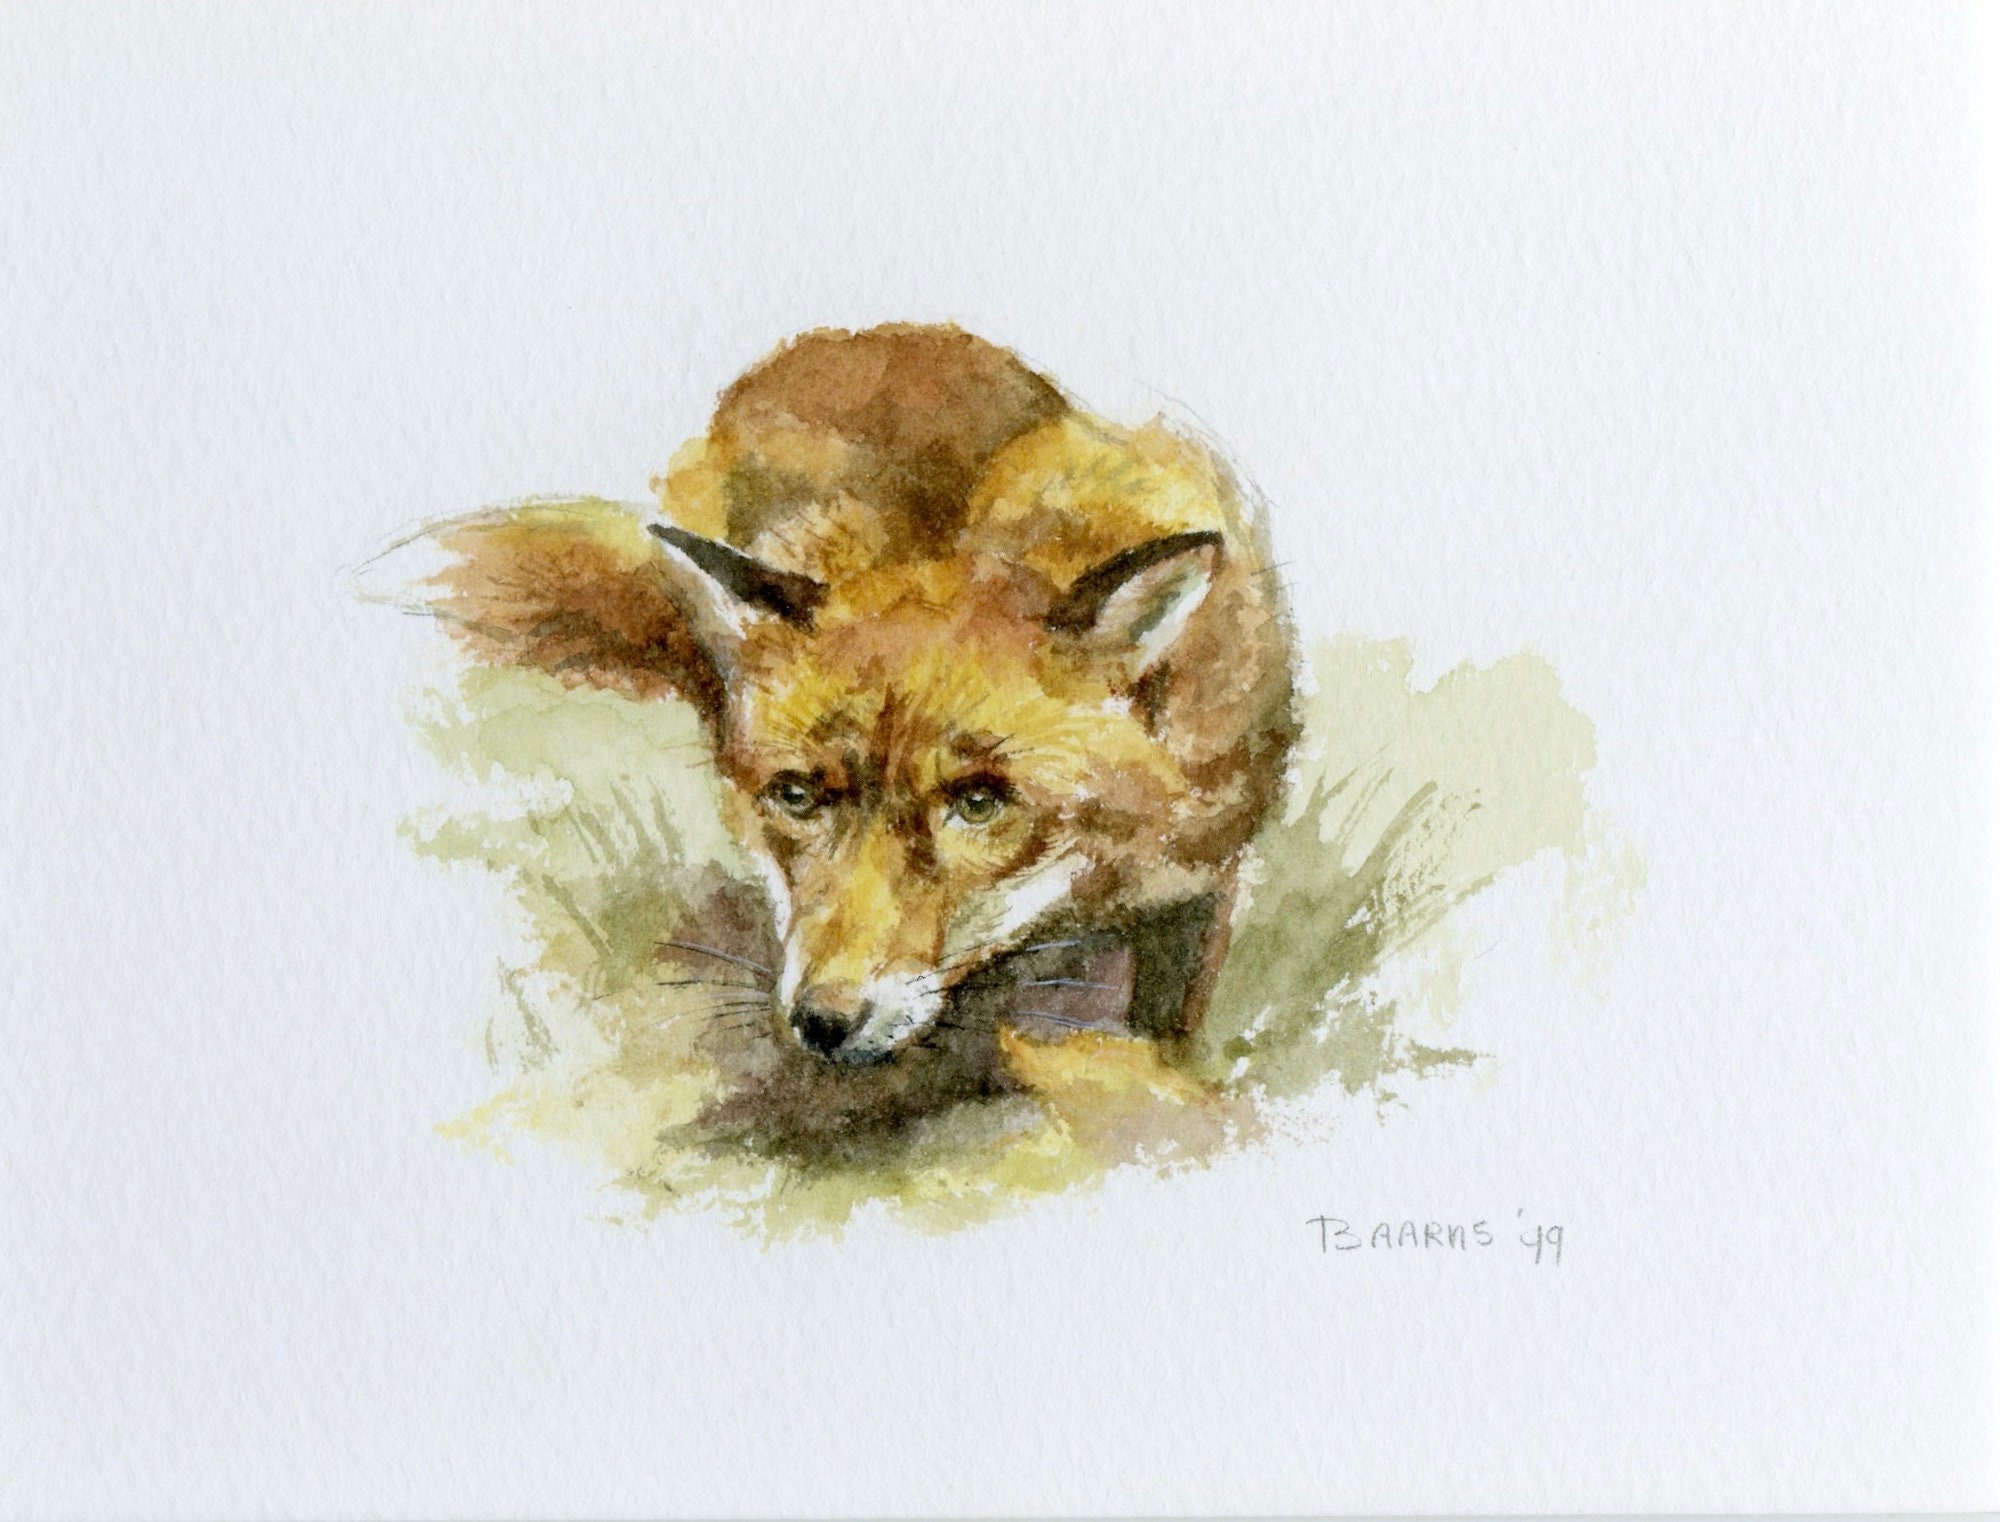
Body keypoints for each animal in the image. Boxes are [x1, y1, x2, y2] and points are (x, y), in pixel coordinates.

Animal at [416, 323, 1298, 1076]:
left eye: (980, 802)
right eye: (797, 795)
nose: (823, 1022)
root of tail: (841, 341)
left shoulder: (1204, 882)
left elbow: (1170, 1022)